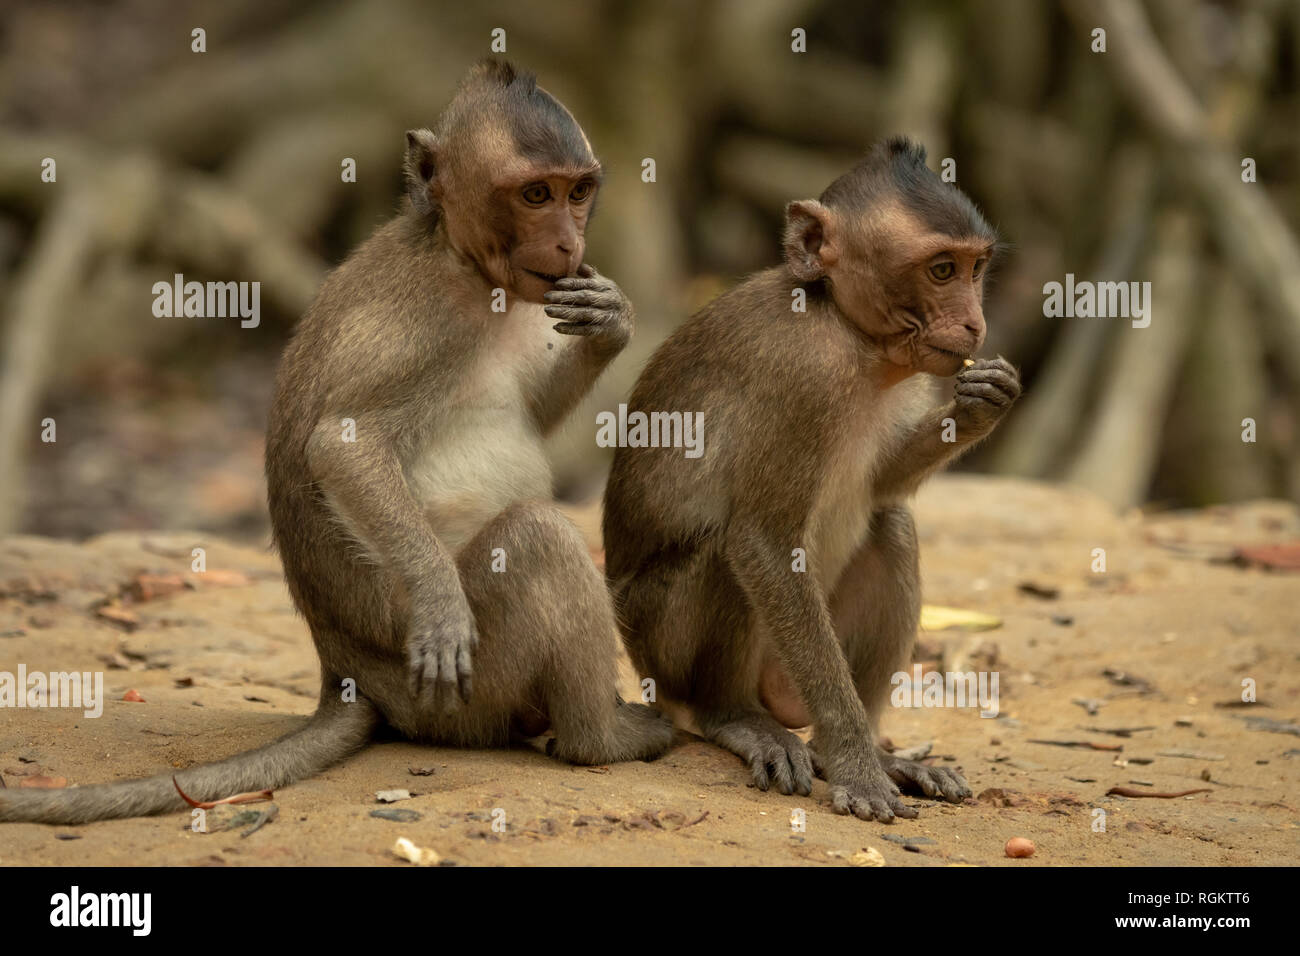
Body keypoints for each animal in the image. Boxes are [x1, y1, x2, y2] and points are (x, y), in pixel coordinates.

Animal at [0, 60, 672, 825]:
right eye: (536, 194)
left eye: (577, 191)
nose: (568, 244)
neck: (461, 260)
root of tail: (344, 675)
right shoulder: (422, 320)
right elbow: (341, 444)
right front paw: (441, 602)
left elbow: (534, 408)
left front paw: (612, 320)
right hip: (458, 686)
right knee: (537, 539)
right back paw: (602, 738)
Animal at [602, 137, 1020, 823]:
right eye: (941, 270)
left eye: (975, 267)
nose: (973, 324)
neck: (848, 329)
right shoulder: (805, 374)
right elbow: (764, 544)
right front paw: (857, 768)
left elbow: (881, 486)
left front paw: (983, 404)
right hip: (663, 647)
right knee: (727, 553)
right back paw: (741, 720)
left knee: (891, 525)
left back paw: (875, 752)